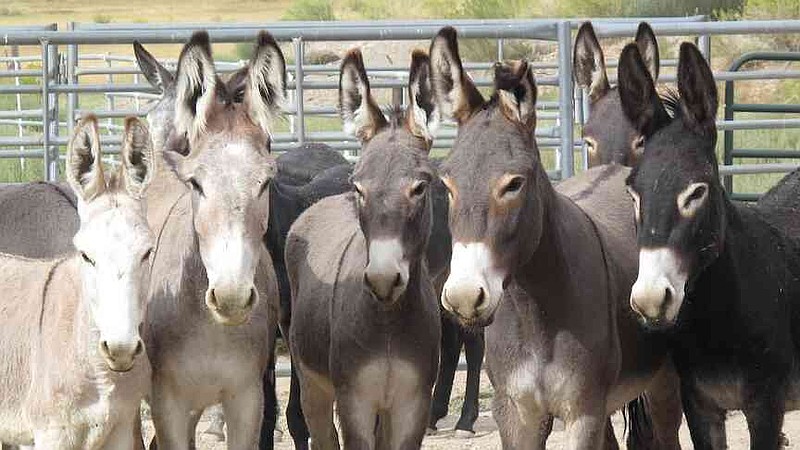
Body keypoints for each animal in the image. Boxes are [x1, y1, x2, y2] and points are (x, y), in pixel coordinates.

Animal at [286, 48, 441, 450]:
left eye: (420, 187)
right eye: (358, 187)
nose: (384, 279)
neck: (388, 322)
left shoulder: (412, 405)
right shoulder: (354, 401)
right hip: (313, 385)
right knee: (322, 435)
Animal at [427, 26, 682, 449]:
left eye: (513, 184)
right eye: (447, 185)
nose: (464, 296)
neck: (533, 310)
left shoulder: (583, 411)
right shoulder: (516, 413)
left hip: (662, 382)